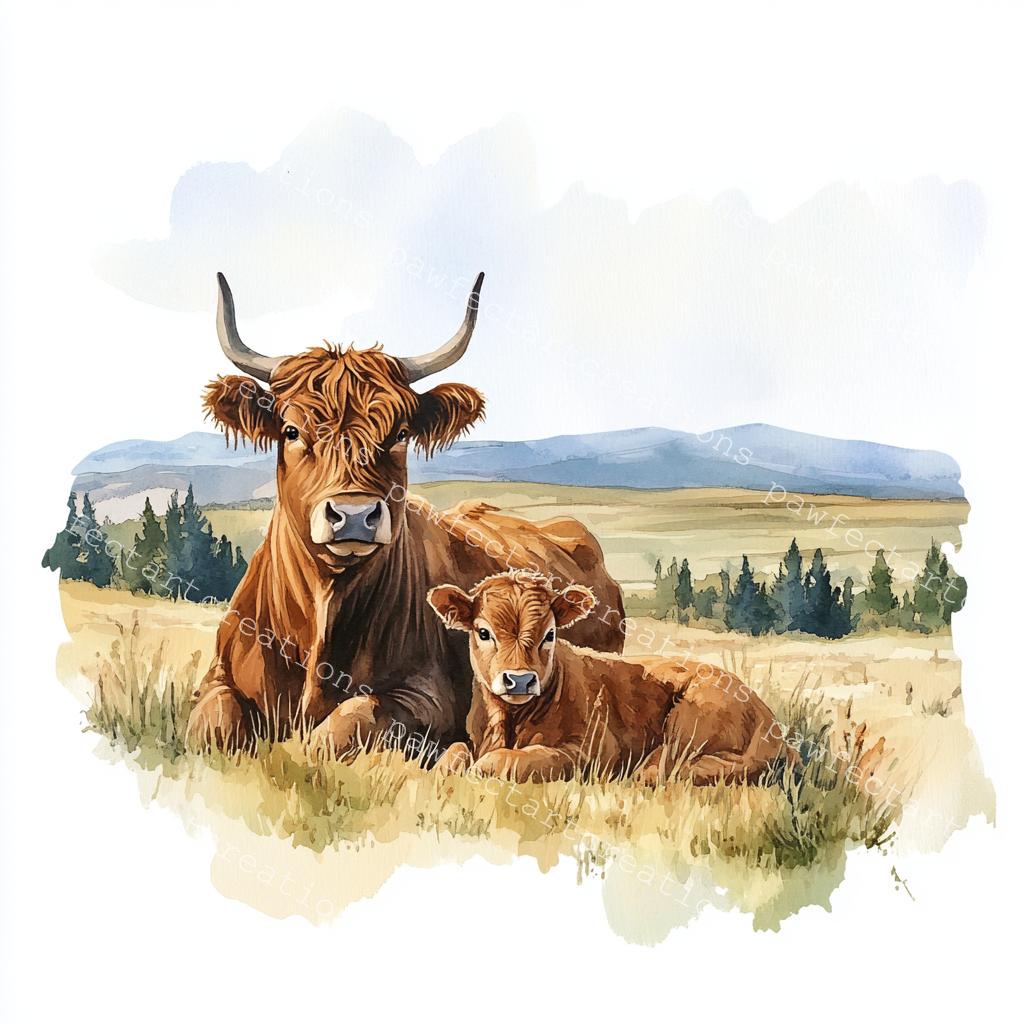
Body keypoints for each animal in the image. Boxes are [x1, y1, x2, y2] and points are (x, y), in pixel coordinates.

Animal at [185, 272, 625, 755]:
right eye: (292, 430)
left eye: (398, 434)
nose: (353, 514)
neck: (322, 604)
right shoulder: (215, 679)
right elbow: (212, 725)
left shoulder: (428, 698)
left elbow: (345, 722)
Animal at [427, 570, 790, 784]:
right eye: (483, 632)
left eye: (550, 634)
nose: (519, 680)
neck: (509, 722)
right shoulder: (470, 741)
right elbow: (453, 752)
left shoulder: (595, 750)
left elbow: (529, 759)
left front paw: (484, 768)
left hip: (692, 718)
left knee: (676, 766)